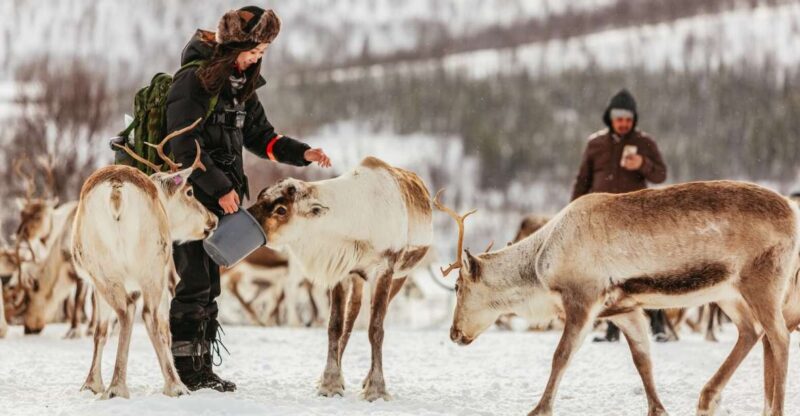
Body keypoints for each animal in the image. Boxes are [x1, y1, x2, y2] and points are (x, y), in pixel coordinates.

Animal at [72, 119, 217, 399]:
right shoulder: (163, 274)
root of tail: (116, 191)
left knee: (123, 312)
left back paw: (113, 386)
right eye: (190, 192)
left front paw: (92, 384)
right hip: (151, 266)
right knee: (147, 316)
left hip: (101, 267)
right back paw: (172, 385)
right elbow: (165, 328)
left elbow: (100, 331)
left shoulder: (94, 284)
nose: (212, 220)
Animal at [248, 156, 433, 401]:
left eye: (281, 209)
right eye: (261, 196)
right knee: (351, 315)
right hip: (357, 278)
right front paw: (330, 382)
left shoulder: (384, 270)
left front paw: (376, 388)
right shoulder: (341, 270)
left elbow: (376, 329)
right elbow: (335, 324)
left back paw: (366, 379)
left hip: (400, 276)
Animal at [438, 180, 800, 416]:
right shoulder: (625, 310)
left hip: (761, 282)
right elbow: (643, 361)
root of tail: (793, 211)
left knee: (779, 337)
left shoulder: (582, 299)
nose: (454, 333)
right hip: (728, 292)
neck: (541, 269)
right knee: (752, 332)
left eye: (458, 286)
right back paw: (708, 399)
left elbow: (561, 356)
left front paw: (539, 409)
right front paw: (658, 408)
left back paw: (771, 408)